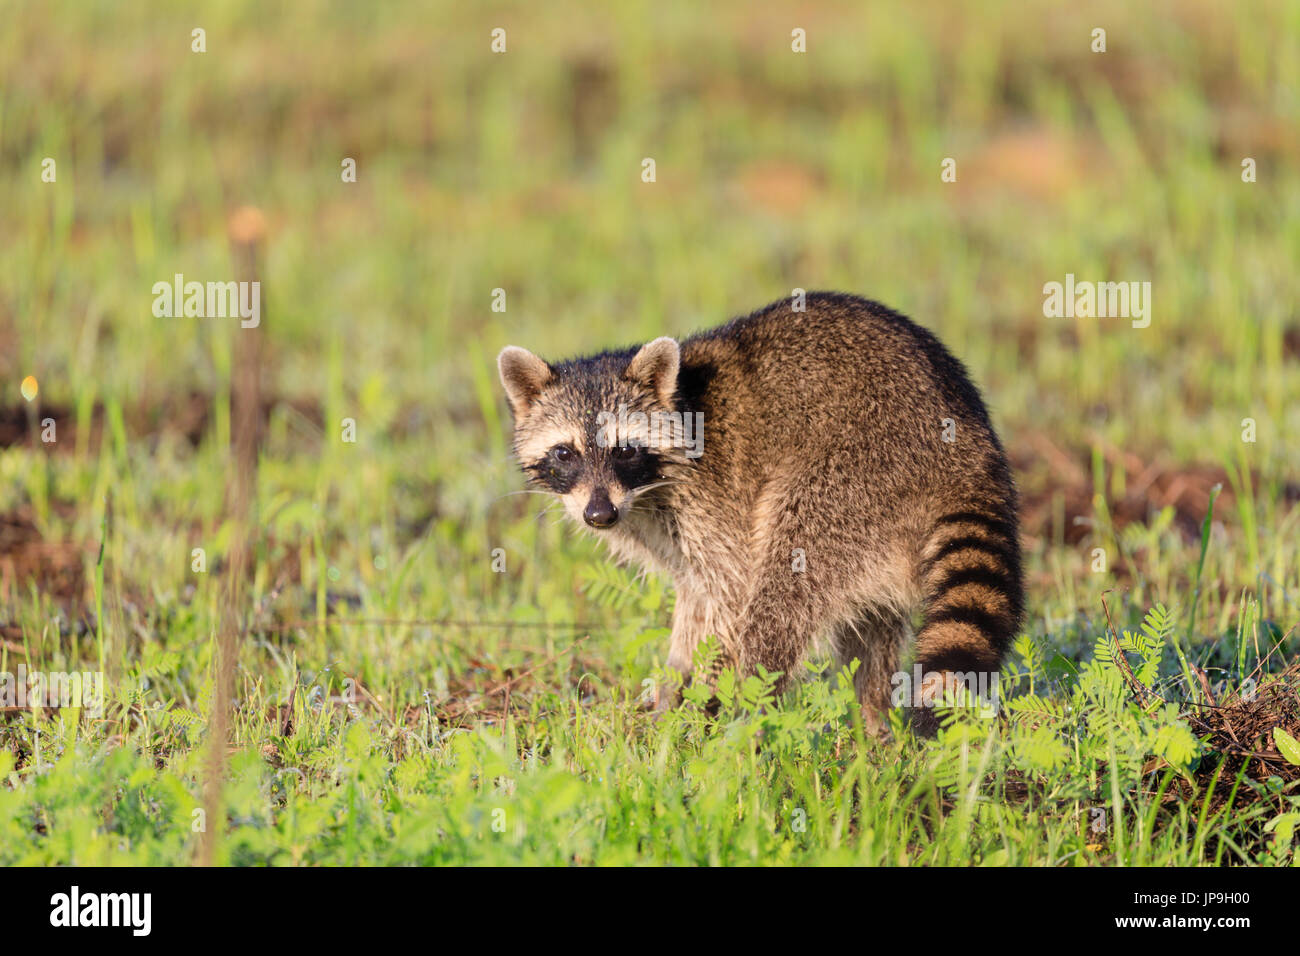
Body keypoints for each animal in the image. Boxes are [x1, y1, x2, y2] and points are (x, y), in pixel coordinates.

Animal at [497, 292, 1023, 735]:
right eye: (564, 453)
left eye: (625, 450)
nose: (599, 515)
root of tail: (969, 451)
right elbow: (695, 599)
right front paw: (671, 693)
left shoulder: (714, 496)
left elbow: (731, 594)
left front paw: (694, 708)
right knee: (870, 627)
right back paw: (873, 721)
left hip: (854, 472)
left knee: (784, 587)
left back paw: (745, 711)